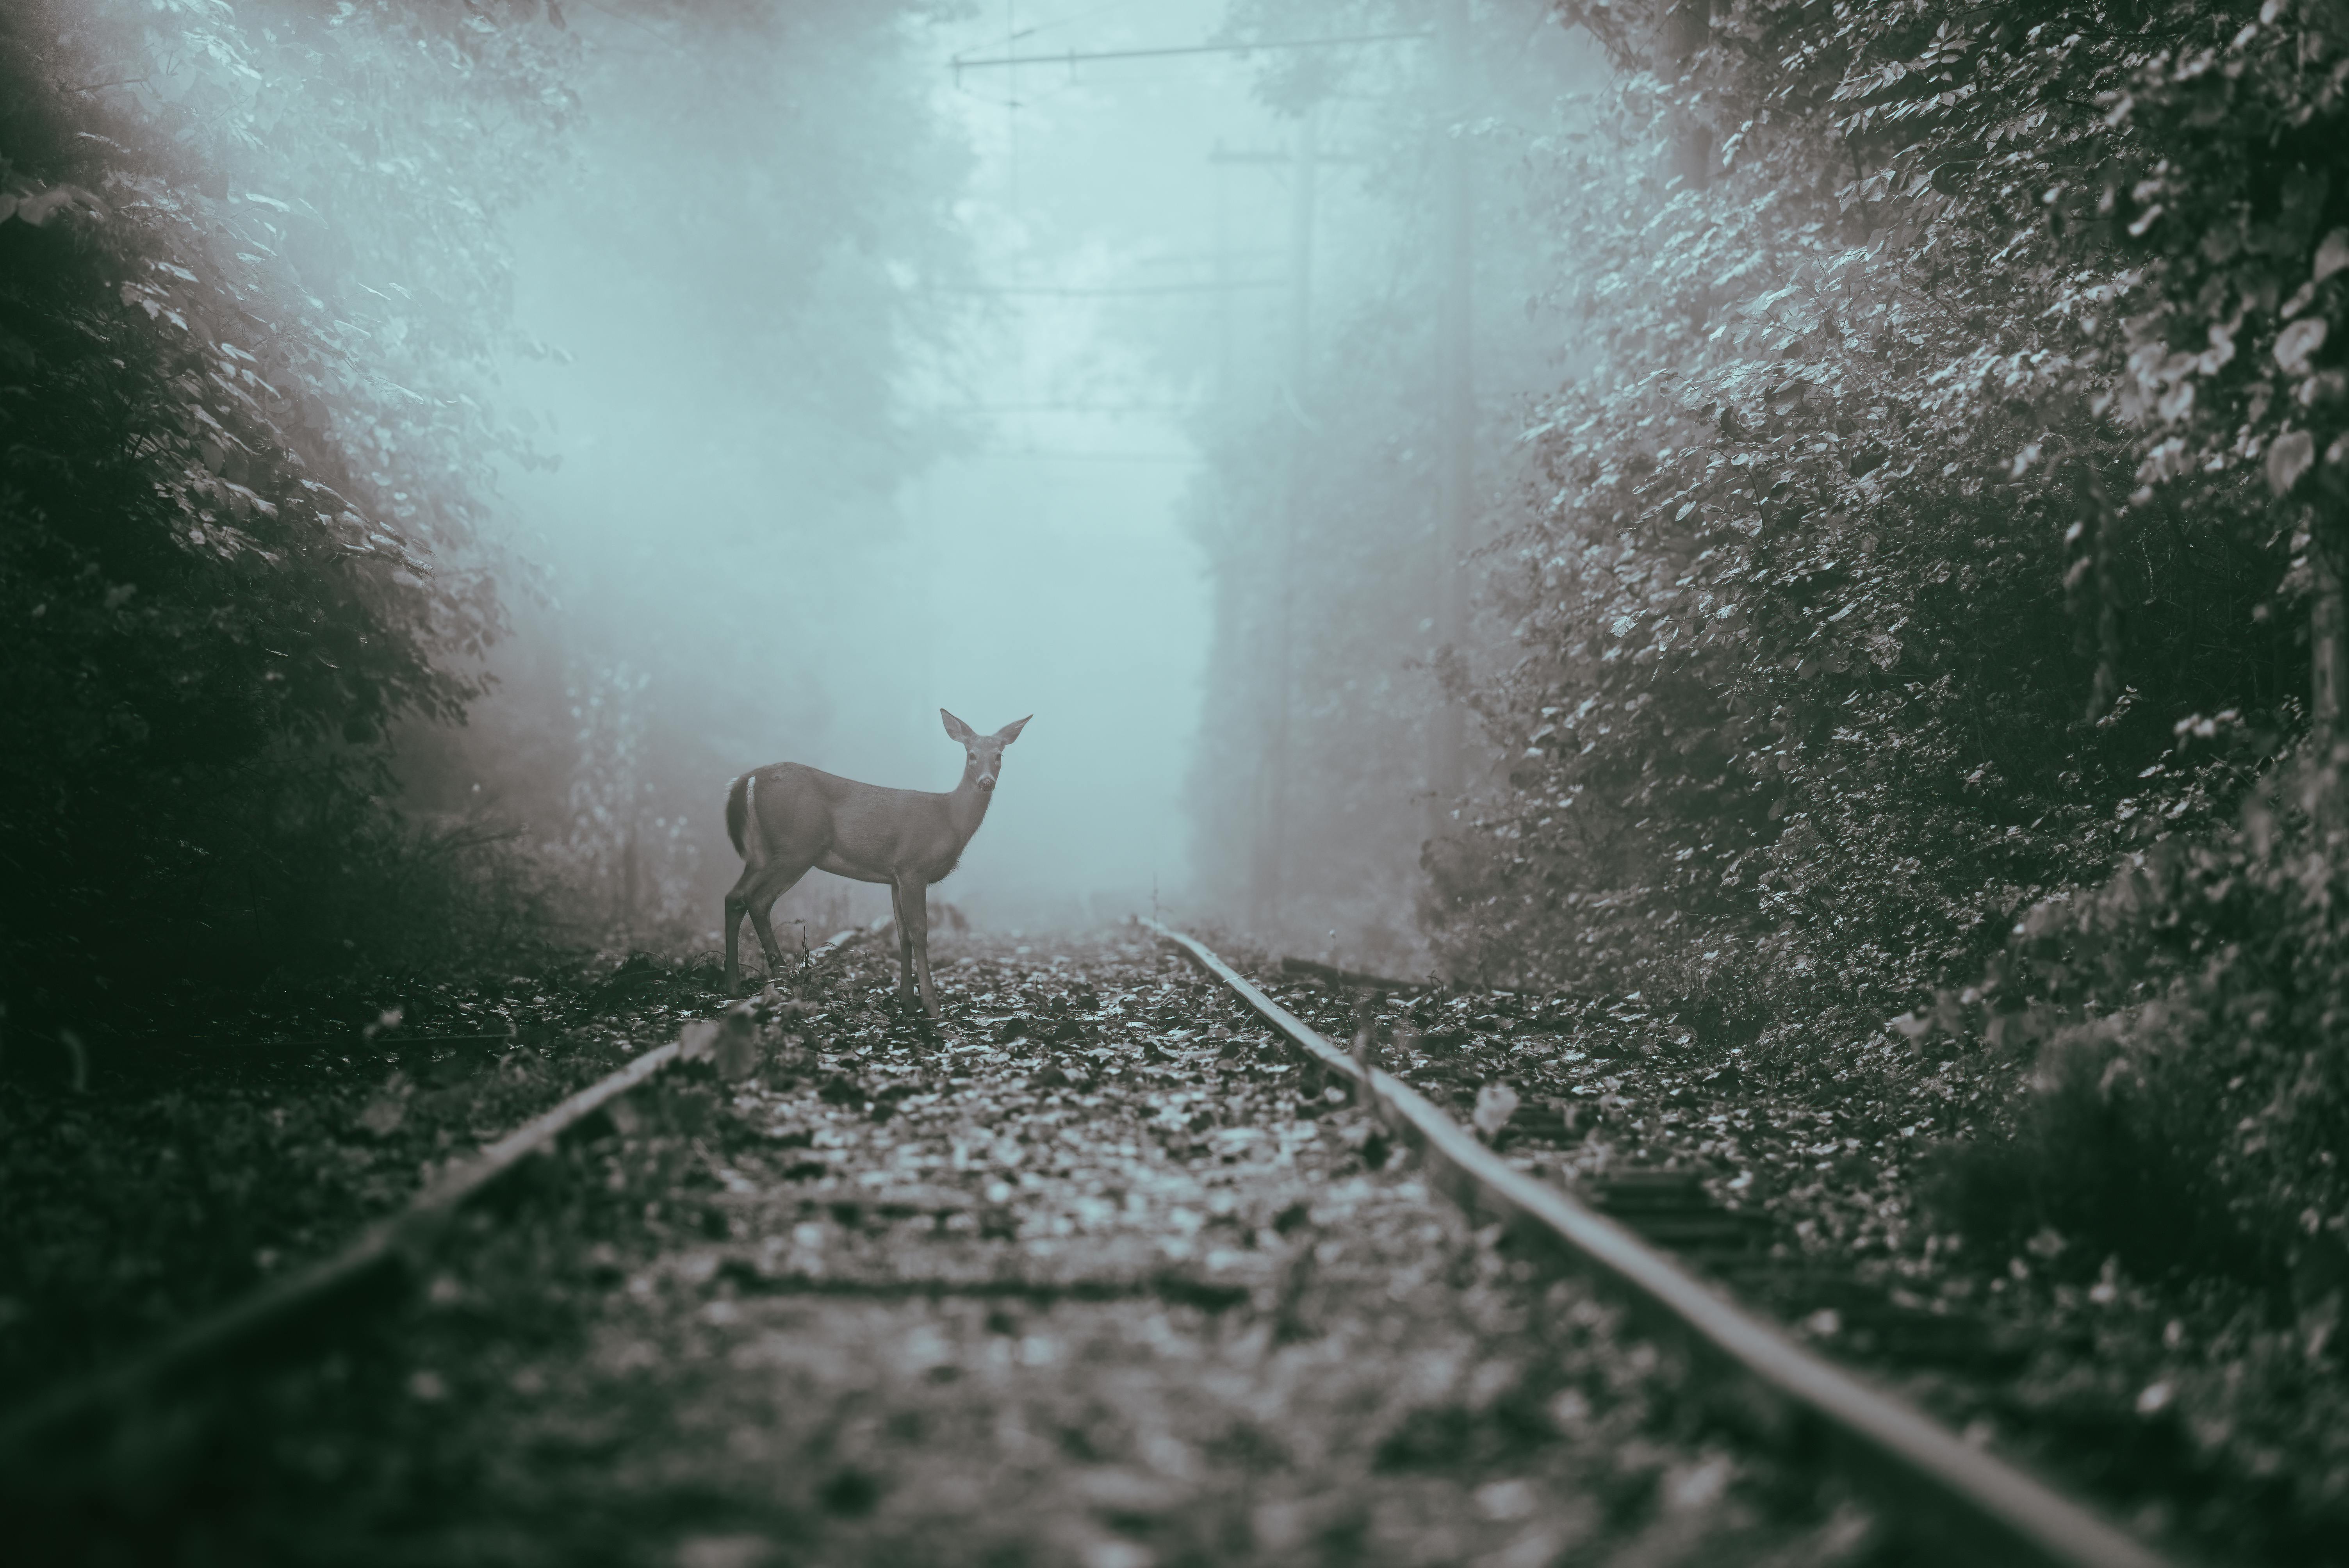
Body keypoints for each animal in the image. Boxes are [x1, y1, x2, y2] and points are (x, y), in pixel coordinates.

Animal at [722, 710, 1030, 1016]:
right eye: (972, 755)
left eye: (1000, 755)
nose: (987, 782)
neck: (949, 820)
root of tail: (747, 779)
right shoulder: (913, 868)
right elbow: (920, 932)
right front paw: (932, 1005)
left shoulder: (895, 877)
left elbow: (902, 934)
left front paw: (906, 1001)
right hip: (796, 848)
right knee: (758, 901)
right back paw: (783, 979)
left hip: (762, 855)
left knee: (734, 897)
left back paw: (734, 986)